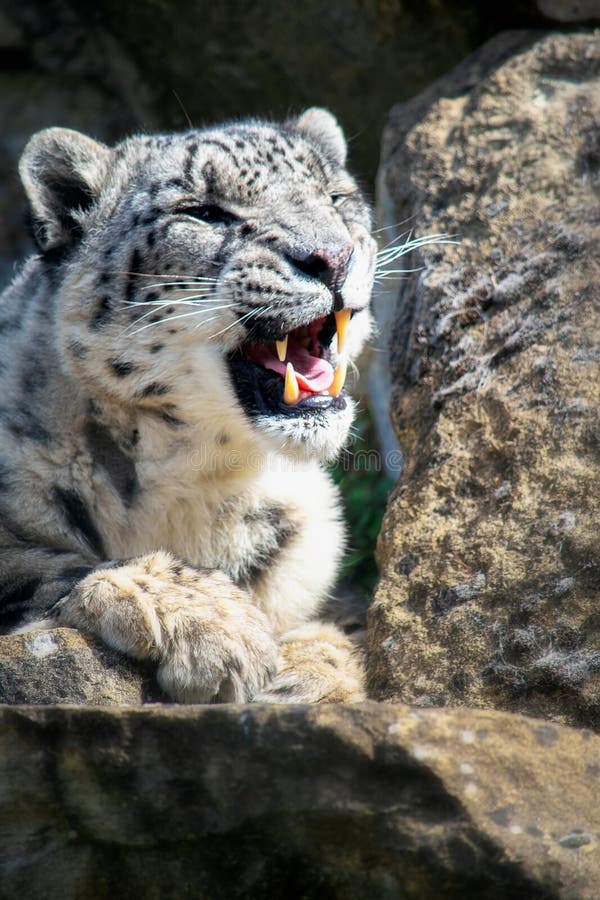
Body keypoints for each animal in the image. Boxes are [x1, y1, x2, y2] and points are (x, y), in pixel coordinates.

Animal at [0, 107, 376, 703]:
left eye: (337, 197)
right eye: (204, 212)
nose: (333, 258)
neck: (203, 475)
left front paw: (309, 672)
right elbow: (39, 560)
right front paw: (213, 626)